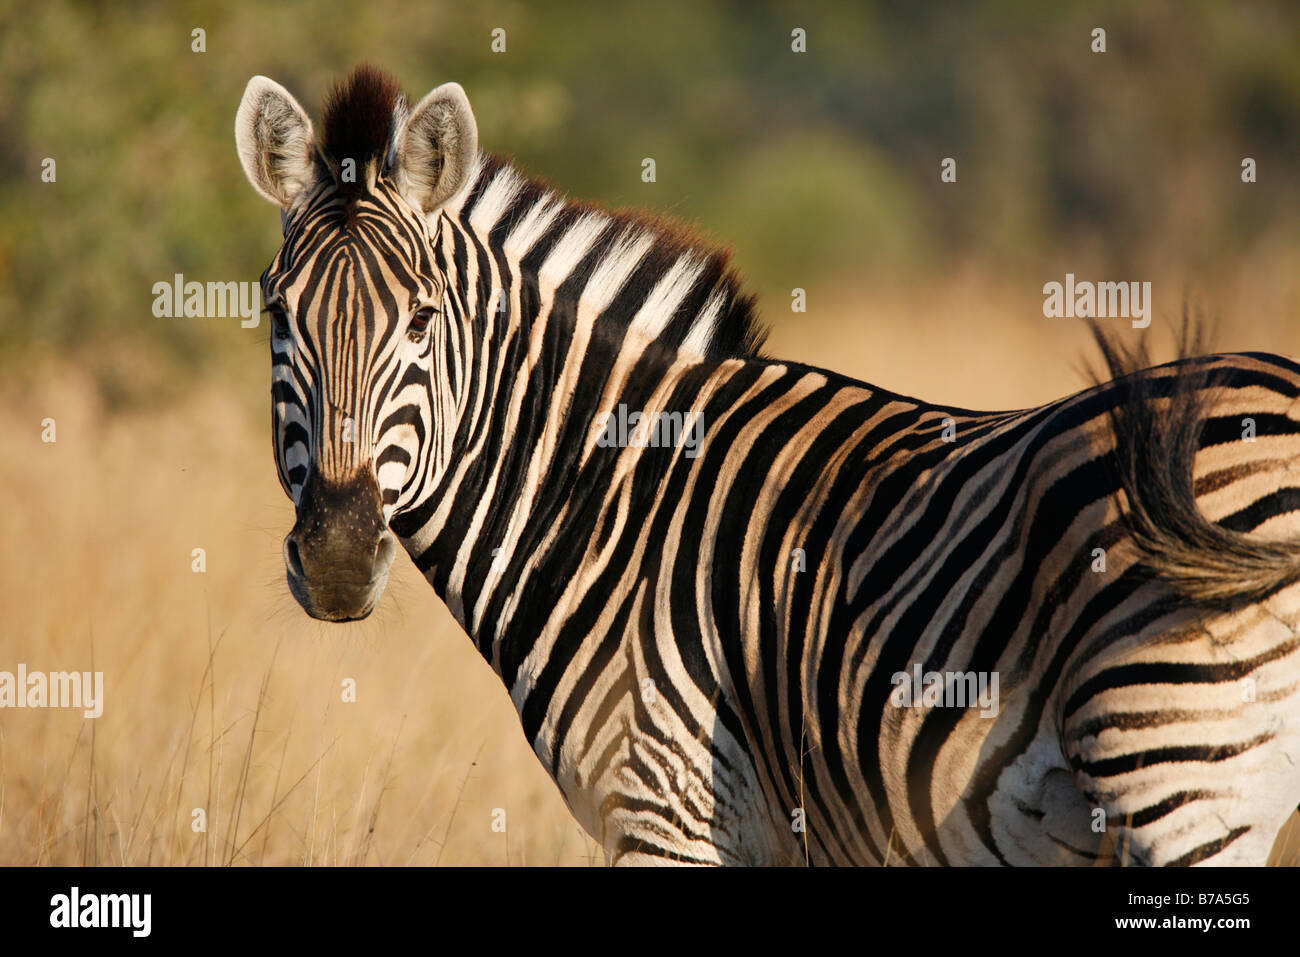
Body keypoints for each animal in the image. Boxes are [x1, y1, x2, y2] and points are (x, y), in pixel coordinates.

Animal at [234, 65, 1300, 866]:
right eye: (278, 315)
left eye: (420, 321)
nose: (336, 558)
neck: (612, 503)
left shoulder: (665, 809)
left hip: (1176, 772)